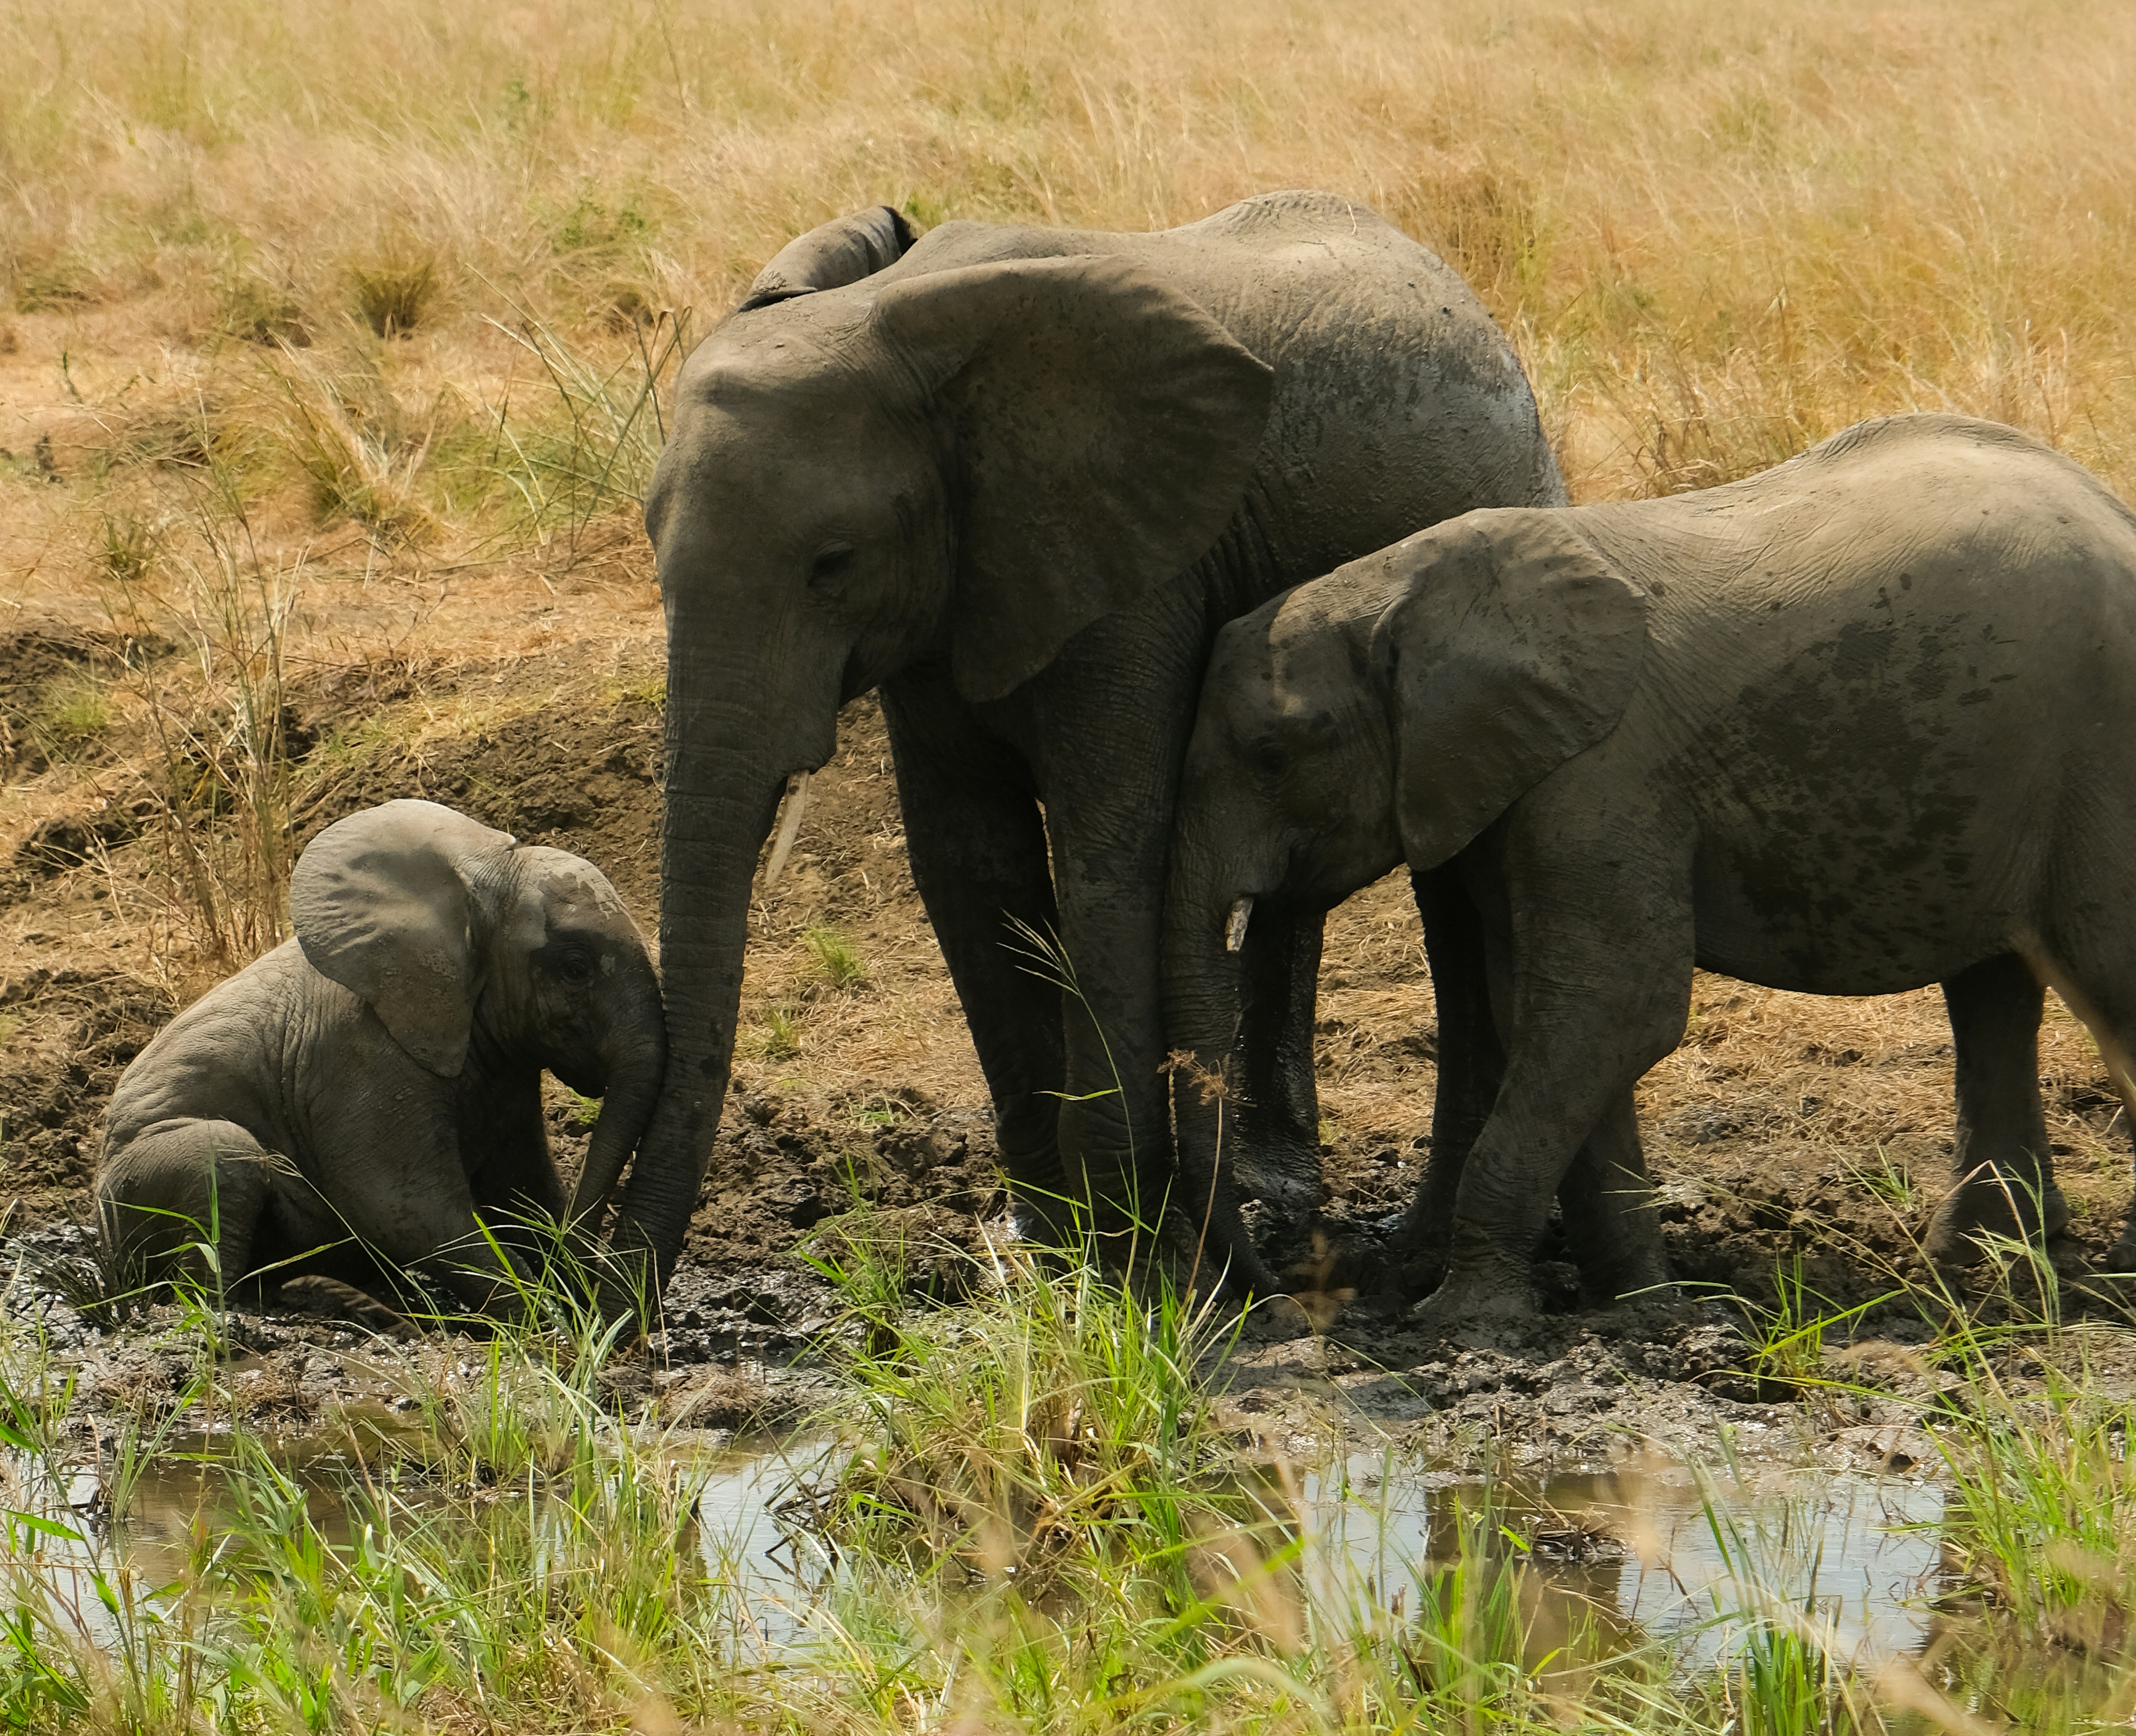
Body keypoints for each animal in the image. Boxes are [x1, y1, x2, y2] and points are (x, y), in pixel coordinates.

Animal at [96, 799, 666, 1314]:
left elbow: (519, 1188)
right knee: (225, 1156)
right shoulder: (358, 1053)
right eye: (575, 969)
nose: (592, 1283)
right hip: (133, 1188)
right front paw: (551, 1326)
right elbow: (406, 1210)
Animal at [612, 189, 1566, 1301]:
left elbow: (1107, 852)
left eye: (832, 563)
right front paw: (1046, 1244)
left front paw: (1128, 1259)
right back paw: (1270, 1188)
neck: (896, 315)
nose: (608, 1299)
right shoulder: (956, 590)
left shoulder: (1137, 569)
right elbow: (969, 864)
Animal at [1164, 413, 2133, 1327]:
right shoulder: (1518, 788)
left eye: (1272, 757)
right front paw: (1640, 1308)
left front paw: (1466, 1321)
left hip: (2099, 752)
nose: (1286, 1298)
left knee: (2098, 972)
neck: (1402, 588)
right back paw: (1978, 1269)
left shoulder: (1602, 780)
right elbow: (1546, 1015)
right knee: (1994, 995)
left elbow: (1613, 1008)